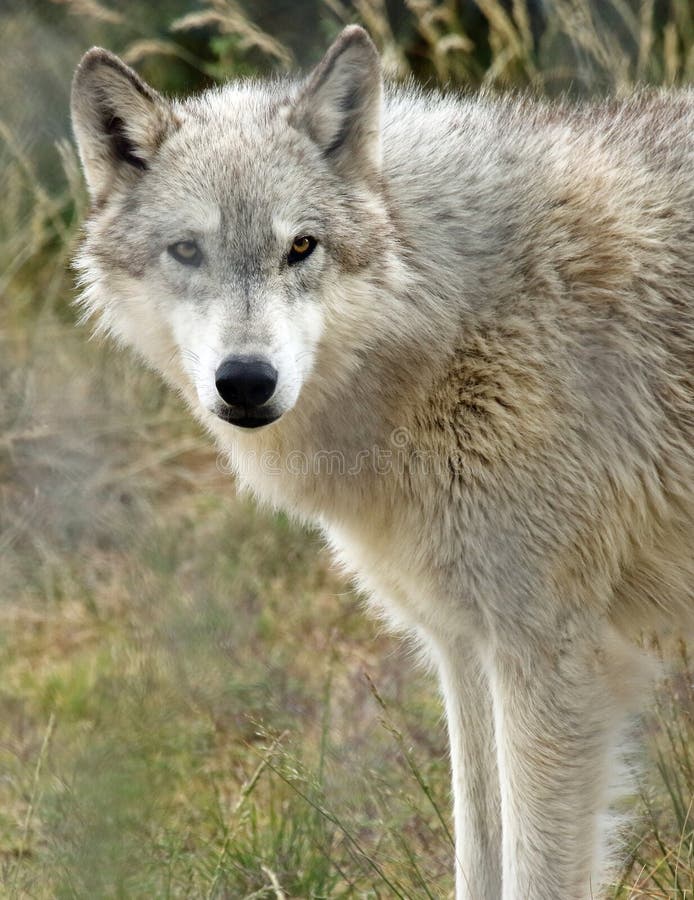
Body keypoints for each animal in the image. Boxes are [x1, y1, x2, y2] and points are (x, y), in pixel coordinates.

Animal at [70, 25, 694, 899]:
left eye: (301, 247)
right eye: (186, 251)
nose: (246, 381)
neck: (456, 318)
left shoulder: (554, 656)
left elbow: (532, 871)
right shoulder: (465, 647)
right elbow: (479, 859)